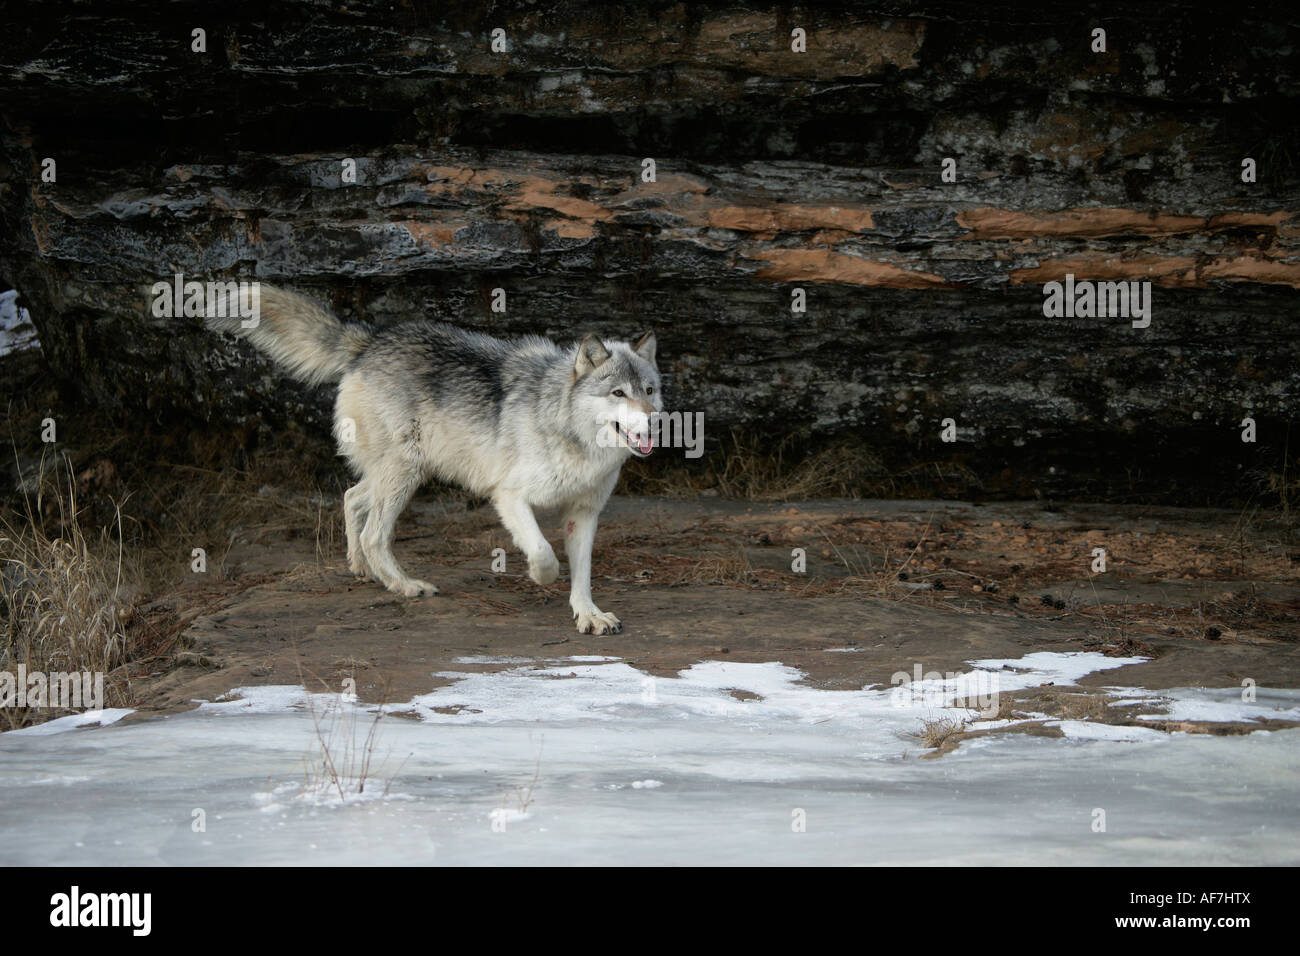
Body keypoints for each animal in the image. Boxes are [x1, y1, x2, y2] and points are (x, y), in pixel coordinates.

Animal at [208, 286, 661, 634]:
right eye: (618, 393)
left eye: (650, 390)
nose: (655, 420)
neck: (570, 430)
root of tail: (370, 340)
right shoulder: (509, 496)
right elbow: (544, 552)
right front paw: (541, 577)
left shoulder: (583, 513)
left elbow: (583, 574)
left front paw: (589, 616)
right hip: (404, 474)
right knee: (373, 532)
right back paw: (405, 585)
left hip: (404, 472)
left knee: (352, 497)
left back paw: (361, 569)